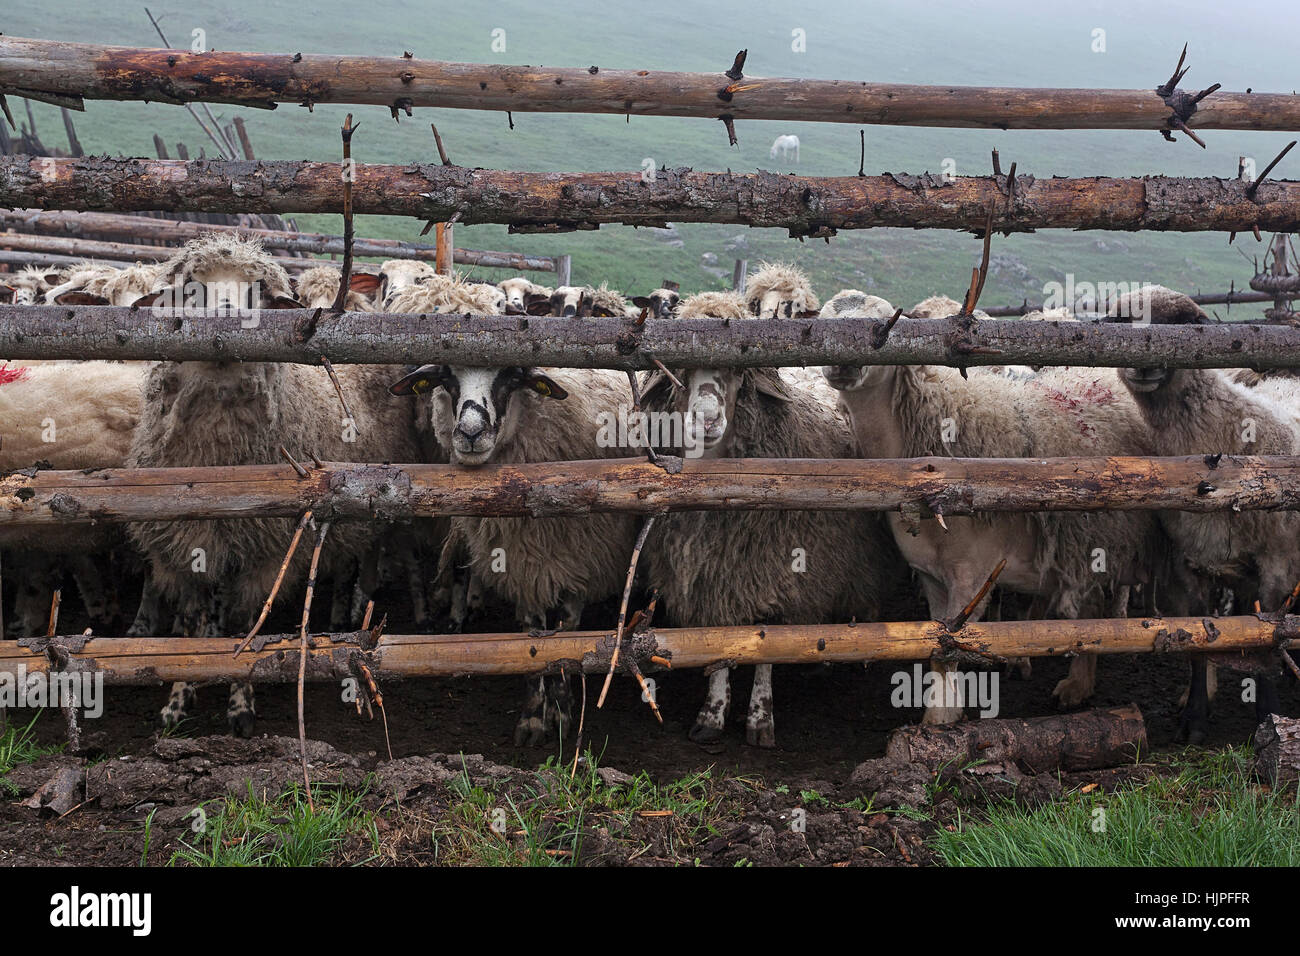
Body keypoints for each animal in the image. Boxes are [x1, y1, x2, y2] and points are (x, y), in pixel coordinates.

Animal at [126, 234, 422, 735]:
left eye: (258, 292)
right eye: (190, 287)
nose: (226, 316)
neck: (221, 464)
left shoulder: (265, 554)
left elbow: (246, 623)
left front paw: (240, 707)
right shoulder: (186, 546)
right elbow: (191, 625)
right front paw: (178, 699)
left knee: (360, 565)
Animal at [388, 284, 639, 746]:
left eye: (510, 376)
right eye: (446, 378)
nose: (470, 434)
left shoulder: (584, 557)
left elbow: (567, 633)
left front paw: (563, 710)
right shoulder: (521, 560)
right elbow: (533, 634)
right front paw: (535, 717)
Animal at [638, 290, 901, 747]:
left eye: (739, 372)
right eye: (681, 371)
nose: (706, 419)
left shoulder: (778, 573)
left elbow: (768, 644)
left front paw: (760, 718)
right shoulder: (714, 574)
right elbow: (720, 640)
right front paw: (712, 713)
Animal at [823, 290, 1163, 723]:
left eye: (886, 325)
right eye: (822, 321)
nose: (842, 364)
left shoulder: (973, 573)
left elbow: (948, 650)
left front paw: (939, 720)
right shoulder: (931, 574)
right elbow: (935, 644)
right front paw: (945, 712)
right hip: (1086, 541)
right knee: (1090, 606)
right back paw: (1077, 685)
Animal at [1112, 285, 1300, 740]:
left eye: (1180, 323)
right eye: (1121, 321)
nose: (1143, 364)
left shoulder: (1279, 562)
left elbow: (1268, 635)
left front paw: (1268, 717)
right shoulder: (1189, 560)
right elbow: (1199, 641)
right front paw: (1195, 720)